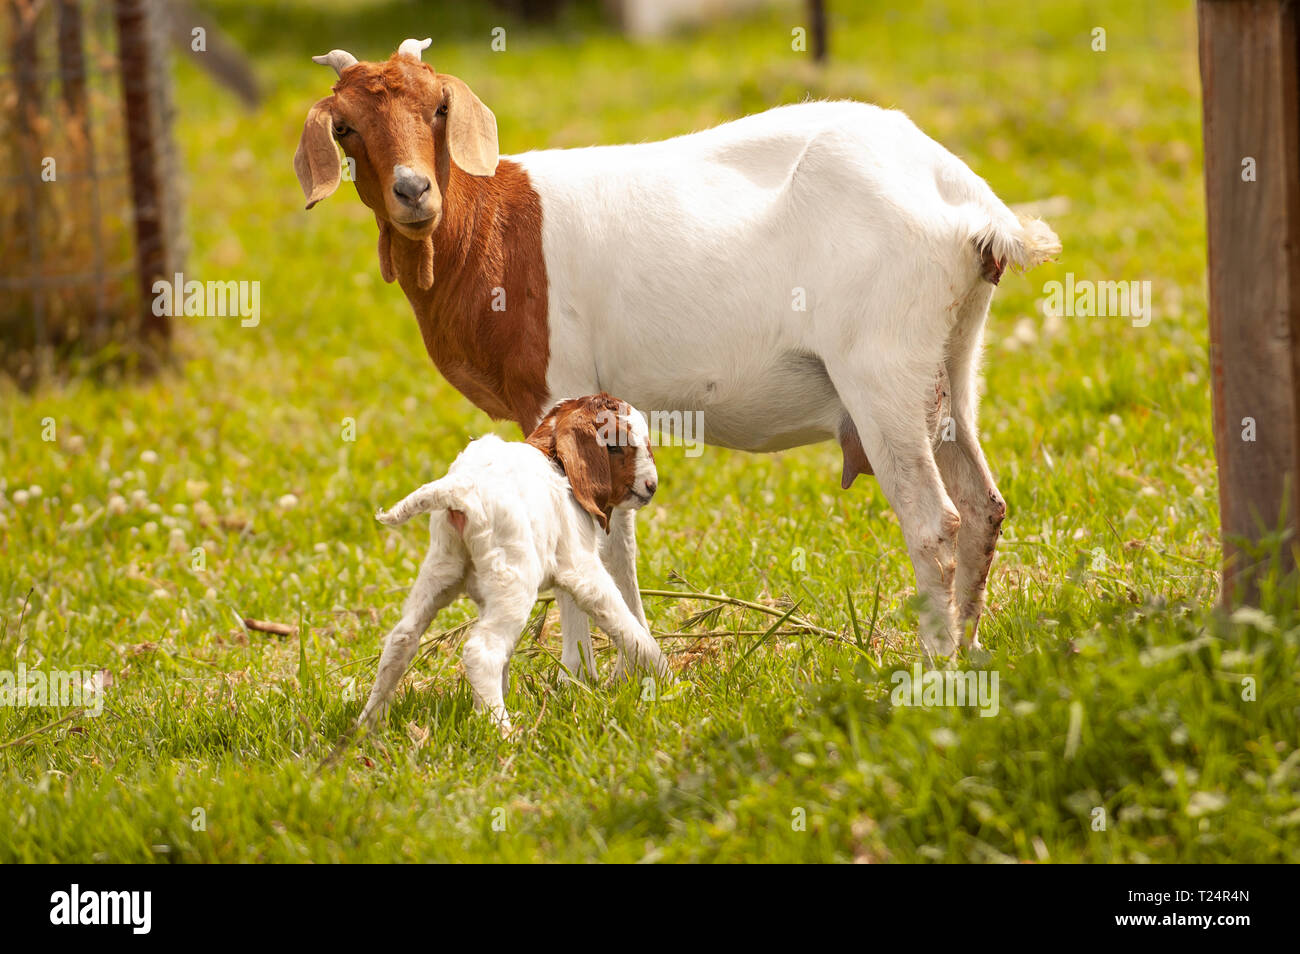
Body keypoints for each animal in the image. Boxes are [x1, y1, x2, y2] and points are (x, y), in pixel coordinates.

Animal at [295, 39, 1061, 658]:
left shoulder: (556, 390)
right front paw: (629, 668)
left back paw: (933, 666)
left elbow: (587, 534)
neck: (490, 226)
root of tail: (967, 201)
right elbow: (613, 534)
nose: (414, 191)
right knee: (984, 504)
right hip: (952, 360)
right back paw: (970, 648)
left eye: (438, 109)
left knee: (933, 521)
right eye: (347, 127)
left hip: (880, 370)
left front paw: (583, 679)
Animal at [357, 394, 667, 733]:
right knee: (481, 652)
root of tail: (459, 491)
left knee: (402, 638)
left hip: (442, 569)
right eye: (615, 445)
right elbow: (624, 622)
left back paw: (368, 725)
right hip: (514, 578)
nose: (651, 485)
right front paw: (664, 674)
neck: (555, 462)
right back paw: (503, 731)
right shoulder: (581, 567)